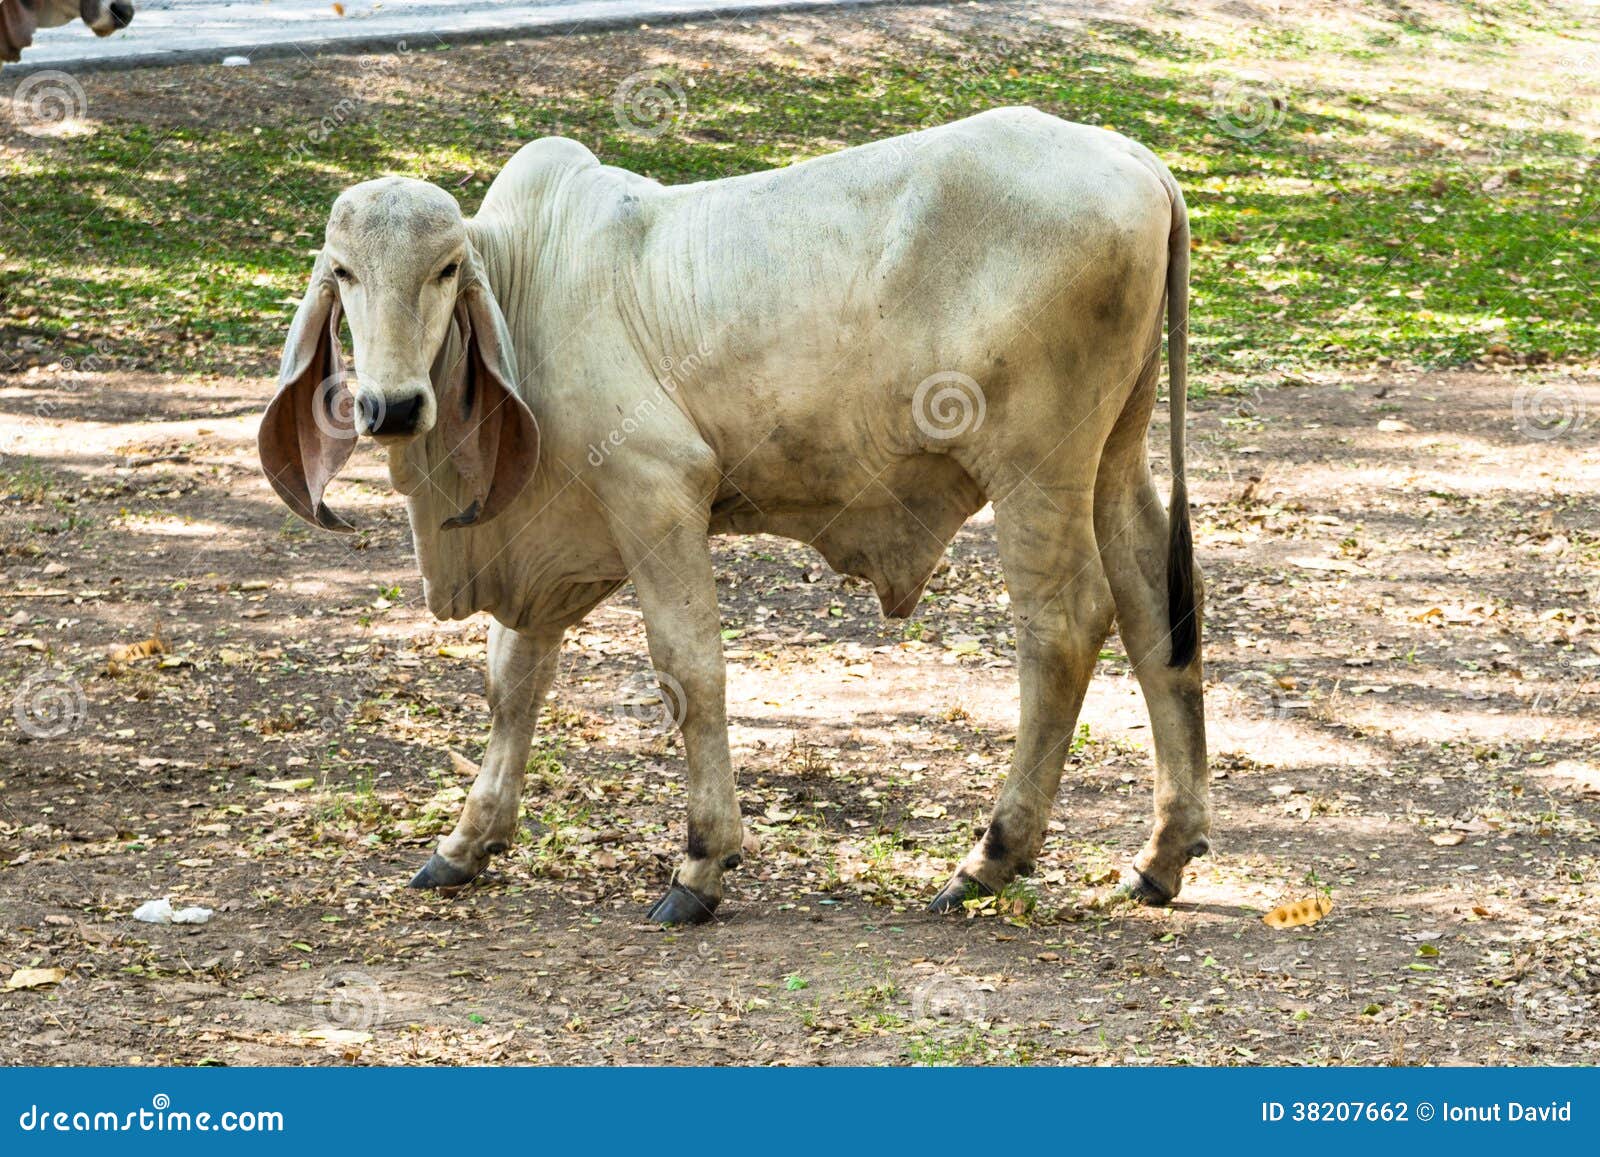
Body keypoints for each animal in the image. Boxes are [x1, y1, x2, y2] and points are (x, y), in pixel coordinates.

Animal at [258, 107, 1210, 924]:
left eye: (446, 269)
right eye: (343, 271)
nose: (390, 406)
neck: (531, 285)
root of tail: (1136, 159)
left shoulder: (656, 491)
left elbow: (691, 674)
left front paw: (702, 864)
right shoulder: (540, 532)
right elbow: (513, 684)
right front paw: (467, 841)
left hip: (1035, 468)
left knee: (1064, 626)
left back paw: (991, 858)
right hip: (1113, 457)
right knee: (1153, 610)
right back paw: (1161, 854)